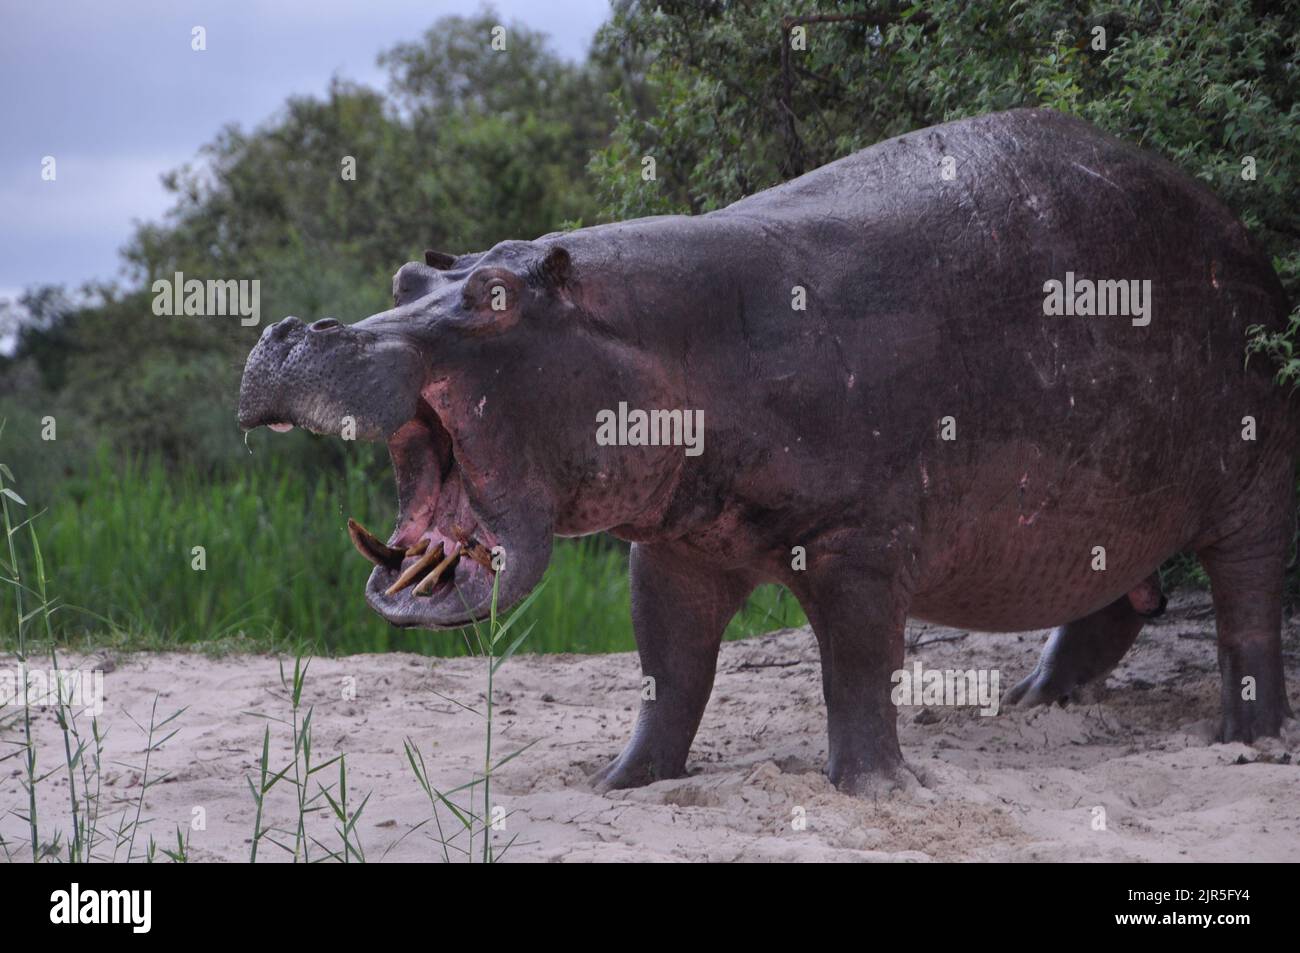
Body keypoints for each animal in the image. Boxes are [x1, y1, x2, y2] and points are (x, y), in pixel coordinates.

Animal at [239, 108, 1296, 795]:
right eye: (406, 277)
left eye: (495, 294)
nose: (296, 330)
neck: (667, 332)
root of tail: (1241, 234)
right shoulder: (671, 548)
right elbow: (668, 676)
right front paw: (620, 784)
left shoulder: (859, 543)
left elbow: (858, 671)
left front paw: (877, 792)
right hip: (1103, 513)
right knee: (1117, 599)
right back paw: (1037, 704)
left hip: (1251, 489)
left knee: (1247, 608)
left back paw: (1250, 741)